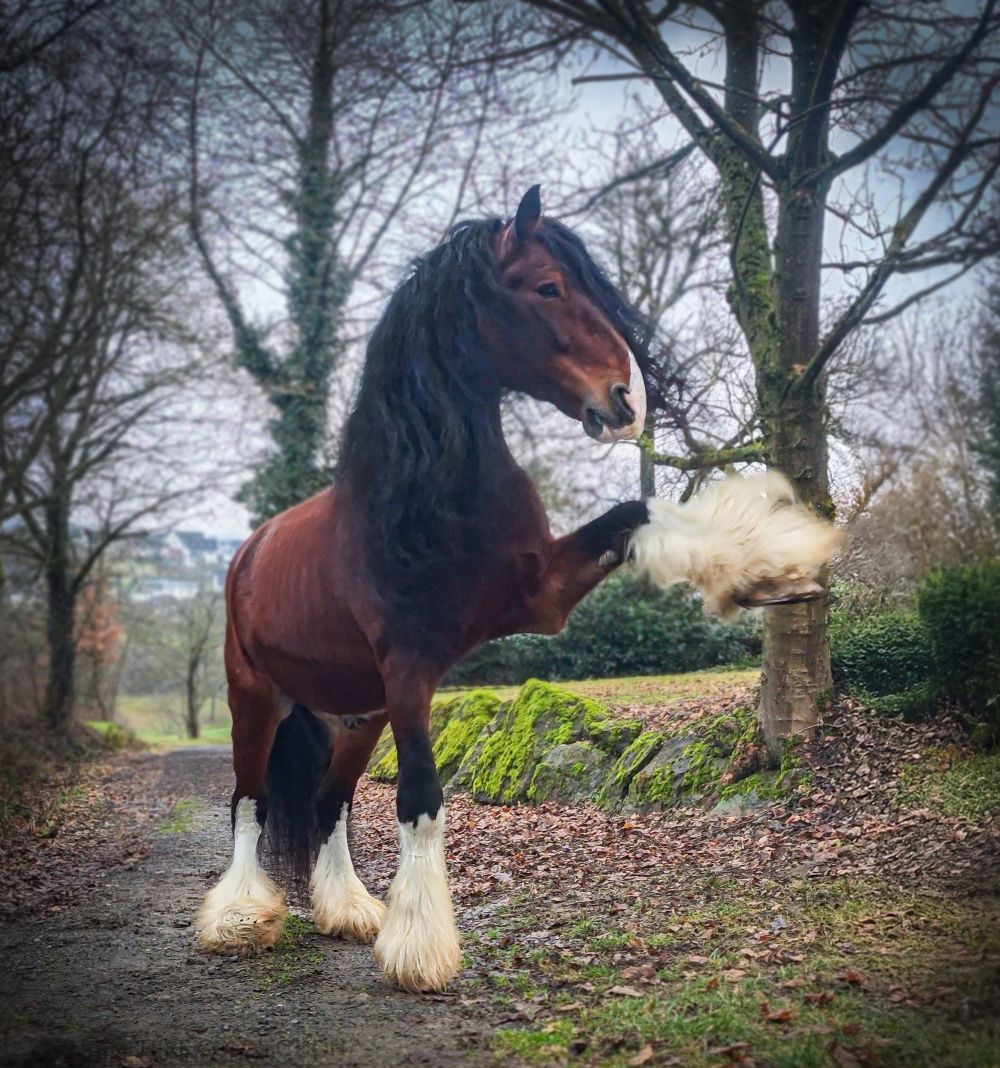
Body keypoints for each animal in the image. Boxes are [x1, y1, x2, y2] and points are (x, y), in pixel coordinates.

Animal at [195, 186, 813, 993]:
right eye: (547, 287)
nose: (628, 400)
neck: (436, 500)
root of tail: (251, 549)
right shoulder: (410, 670)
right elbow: (421, 798)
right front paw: (421, 950)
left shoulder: (540, 598)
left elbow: (637, 512)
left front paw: (772, 566)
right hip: (258, 696)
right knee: (251, 800)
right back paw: (239, 918)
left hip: (358, 714)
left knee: (328, 802)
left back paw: (349, 911)